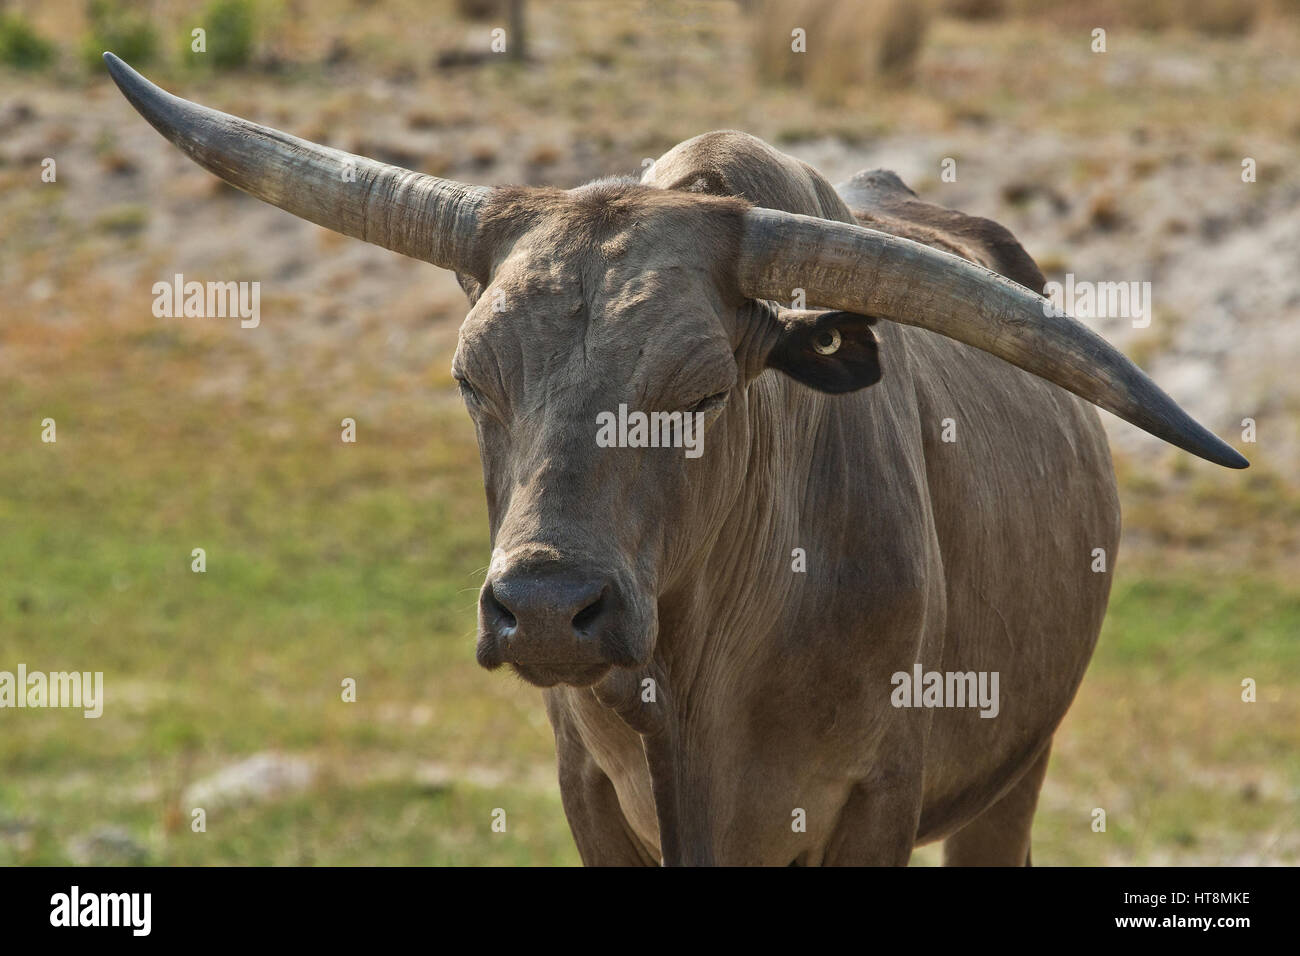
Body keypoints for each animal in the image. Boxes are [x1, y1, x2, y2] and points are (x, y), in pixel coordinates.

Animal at [105, 53, 1247, 866]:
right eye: (474, 379)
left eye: (701, 395)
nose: (546, 608)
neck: (694, 684)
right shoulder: (594, 796)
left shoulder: (877, 796)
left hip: (1013, 775)